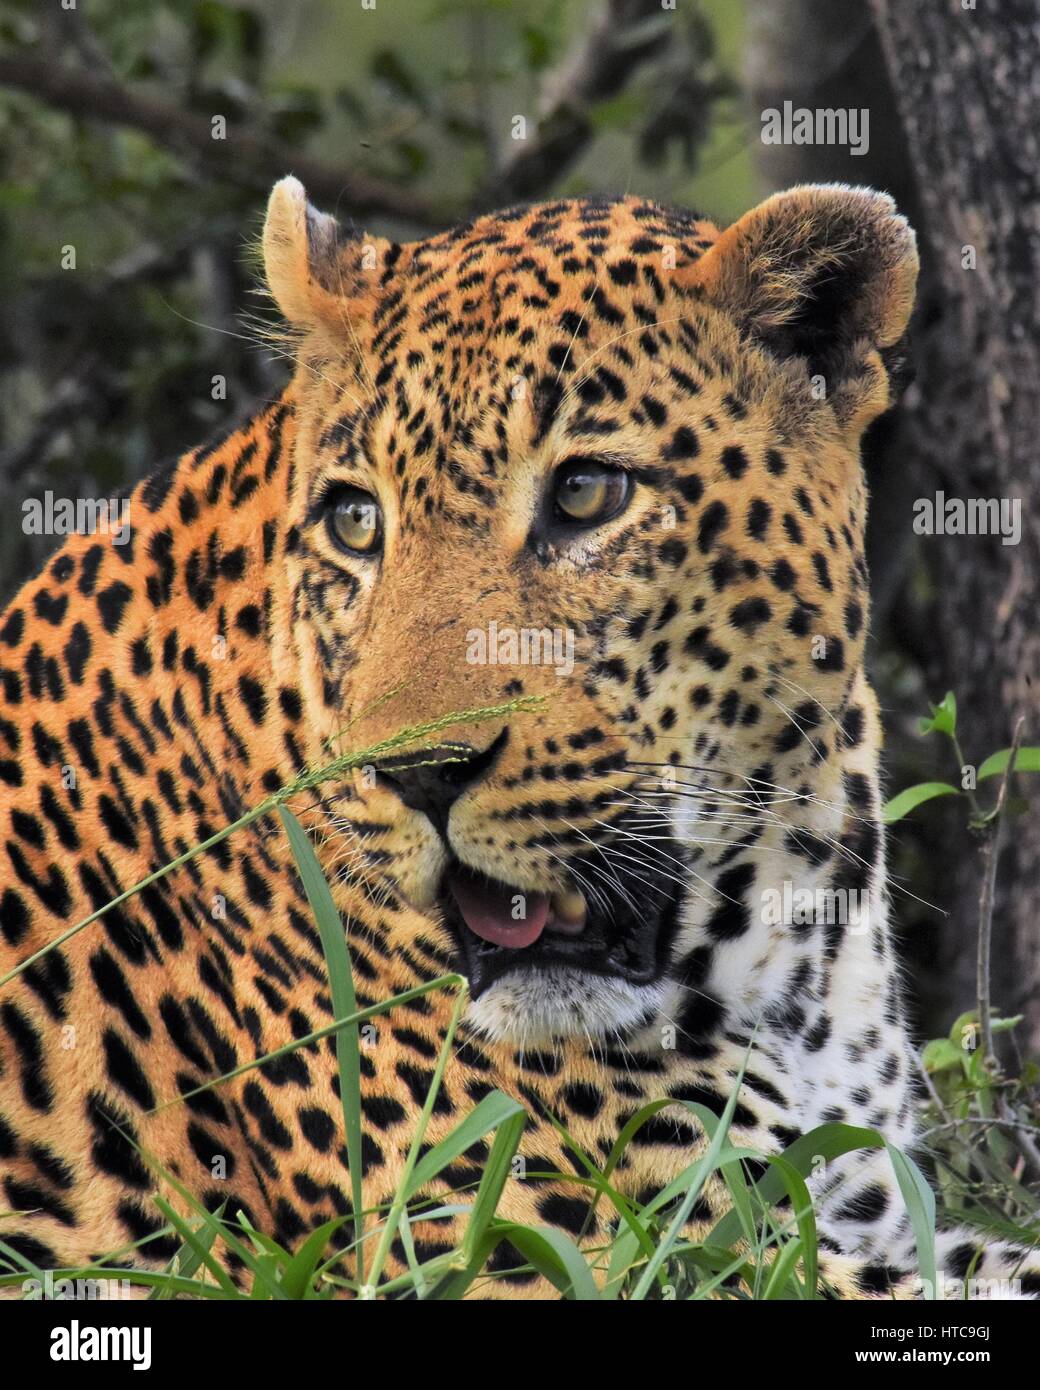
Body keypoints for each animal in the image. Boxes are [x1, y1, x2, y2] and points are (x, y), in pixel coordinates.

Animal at [0, 176, 1035, 1300]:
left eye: (586, 493)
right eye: (356, 520)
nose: (419, 774)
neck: (776, 929)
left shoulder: (860, 1202)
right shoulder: (603, 1242)